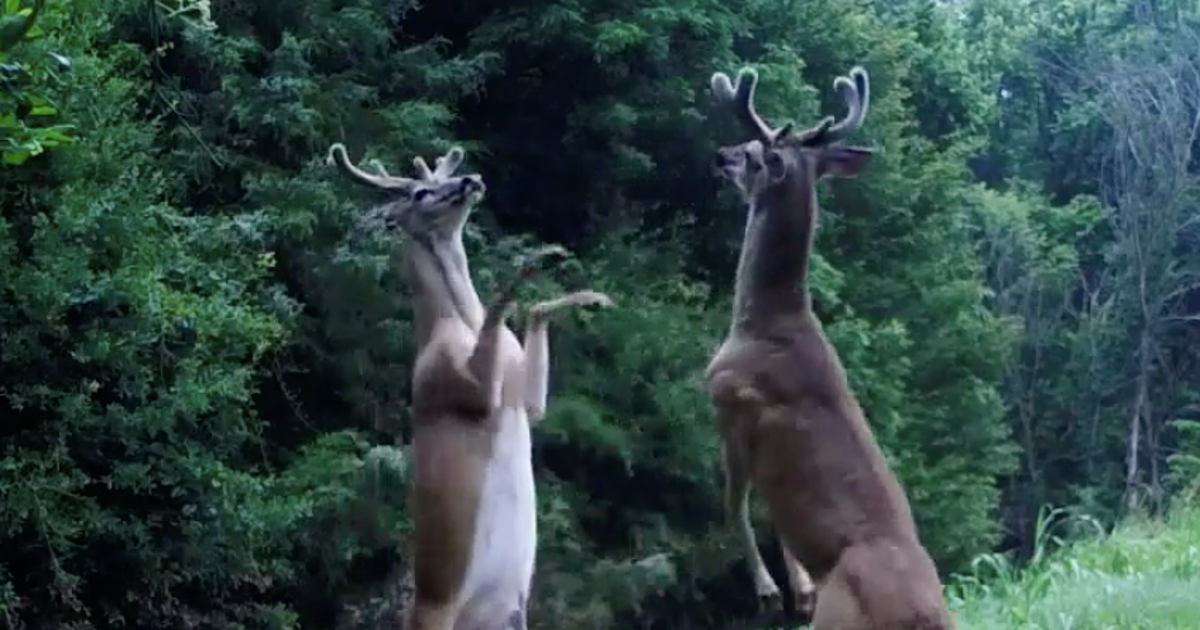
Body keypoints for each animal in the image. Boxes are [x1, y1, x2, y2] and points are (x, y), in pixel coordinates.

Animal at [327, 142, 613, 630]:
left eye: (444, 174)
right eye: (421, 192)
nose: (470, 179)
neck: (455, 323)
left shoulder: (524, 401)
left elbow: (532, 313)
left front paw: (590, 294)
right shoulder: (452, 383)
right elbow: (501, 301)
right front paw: (538, 259)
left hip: (510, 616)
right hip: (436, 614)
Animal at [702, 64, 957, 630]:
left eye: (756, 150)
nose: (722, 154)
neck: (766, 321)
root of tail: (925, 617)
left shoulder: (731, 402)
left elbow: (734, 505)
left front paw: (769, 590)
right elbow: (770, 516)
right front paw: (798, 589)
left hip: (842, 619)